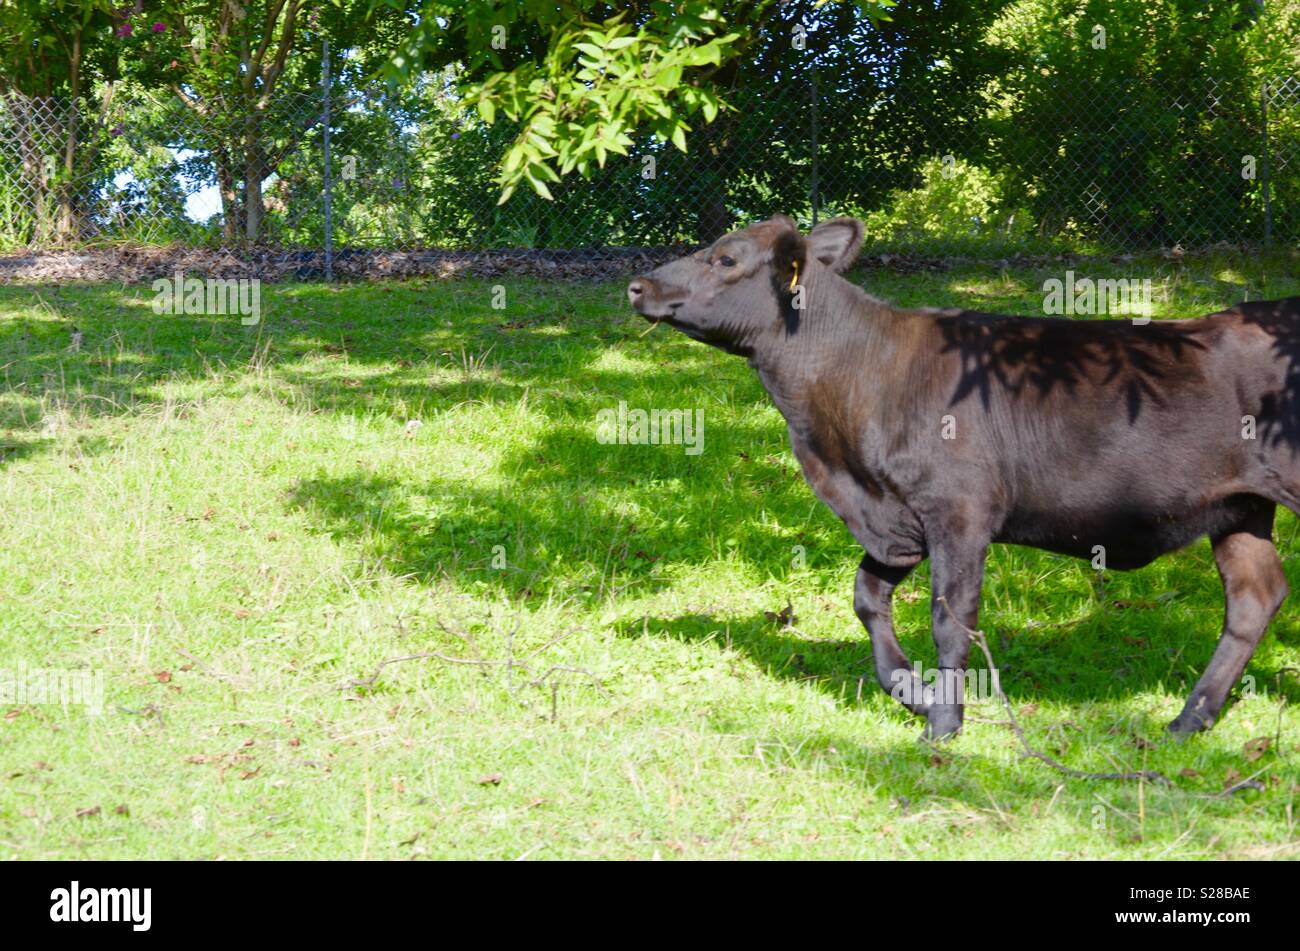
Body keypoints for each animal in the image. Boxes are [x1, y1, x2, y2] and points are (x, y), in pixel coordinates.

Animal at [627, 213, 1300, 740]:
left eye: (725, 257)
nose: (638, 285)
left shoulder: (959, 511)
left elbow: (950, 621)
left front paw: (944, 725)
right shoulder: (898, 518)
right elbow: (866, 596)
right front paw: (912, 692)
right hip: (1240, 509)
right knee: (1254, 597)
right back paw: (1189, 720)